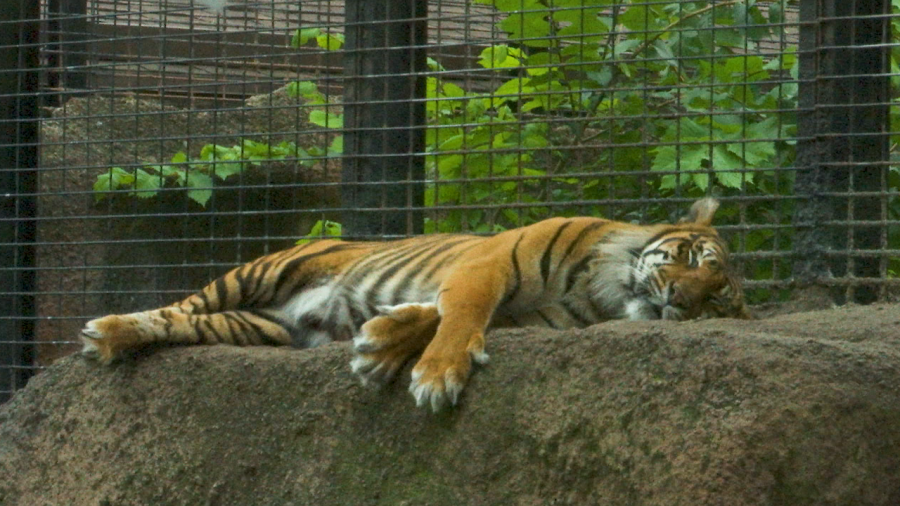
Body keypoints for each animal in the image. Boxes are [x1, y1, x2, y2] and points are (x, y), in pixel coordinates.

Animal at [81, 198, 751, 412]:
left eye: (715, 305)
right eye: (691, 261)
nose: (681, 301)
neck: (602, 287)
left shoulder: (525, 318)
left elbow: (431, 315)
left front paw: (379, 347)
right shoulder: (488, 265)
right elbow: (459, 317)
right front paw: (436, 375)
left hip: (257, 329)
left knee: (186, 324)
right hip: (256, 274)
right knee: (179, 305)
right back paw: (104, 334)